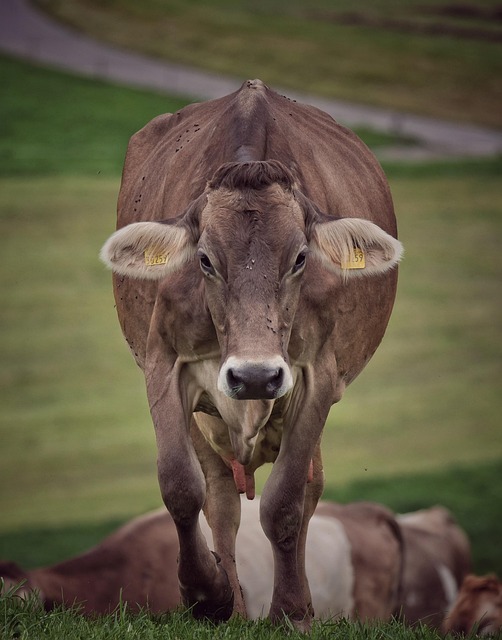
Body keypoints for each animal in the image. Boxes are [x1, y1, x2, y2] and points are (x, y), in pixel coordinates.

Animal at [100, 78, 403, 628]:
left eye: (301, 257)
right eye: (204, 259)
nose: (256, 377)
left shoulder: (317, 377)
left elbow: (285, 502)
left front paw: (290, 610)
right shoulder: (163, 363)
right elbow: (181, 485)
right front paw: (208, 595)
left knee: (306, 492)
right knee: (221, 498)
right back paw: (234, 603)